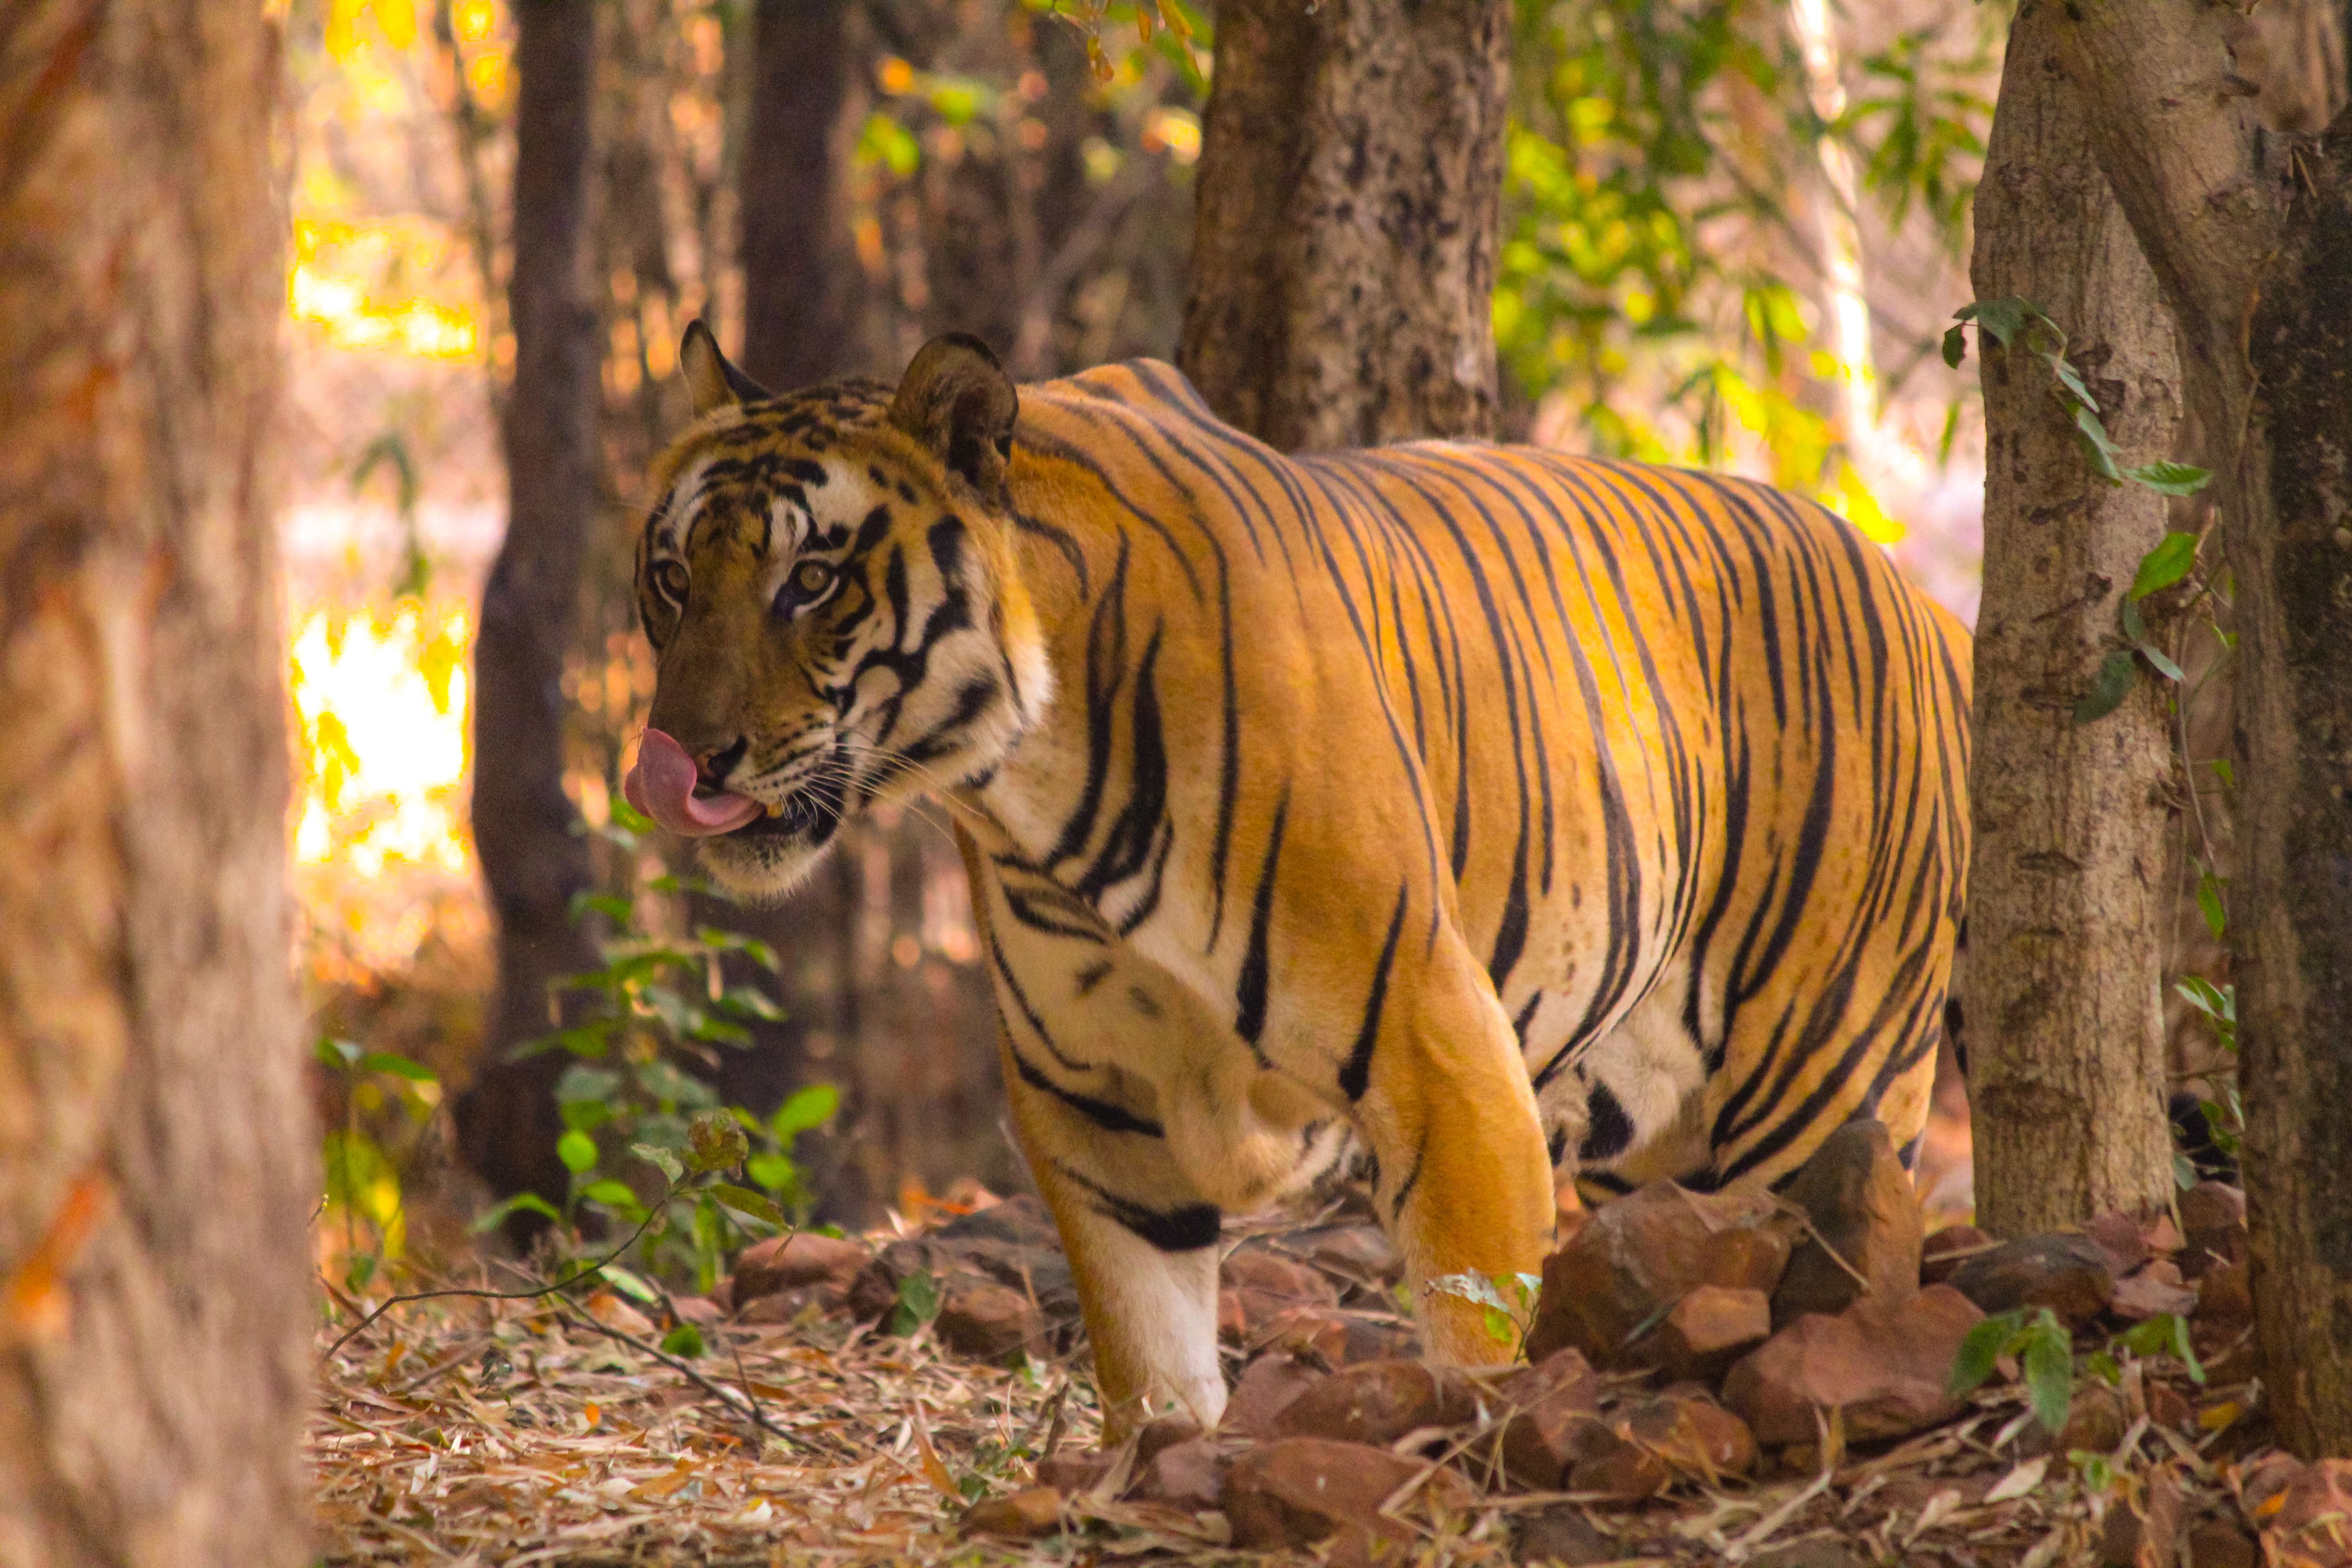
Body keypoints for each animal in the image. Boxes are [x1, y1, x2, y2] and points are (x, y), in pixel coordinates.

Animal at [623, 322, 1972, 1437]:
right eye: (674, 578)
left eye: (811, 581)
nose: (676, 761)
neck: (1025, 796)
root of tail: (1912, 589)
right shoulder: (1094, 1102)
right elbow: (1151, 1356)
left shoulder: (1443, 1049)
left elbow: (1478, 1326)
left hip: (1817, 1091)